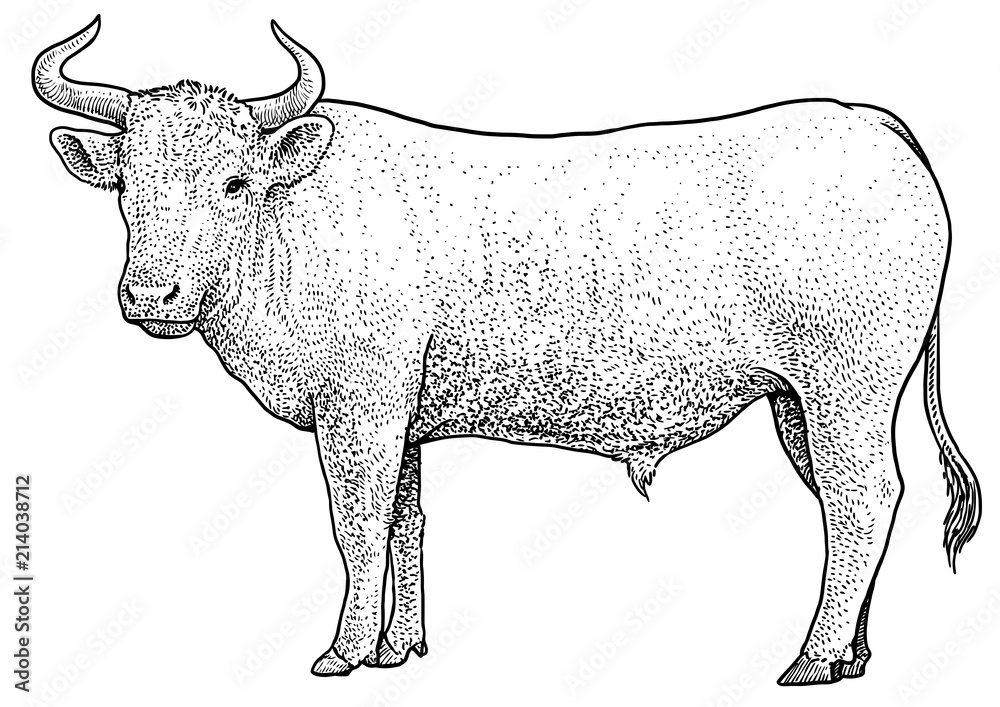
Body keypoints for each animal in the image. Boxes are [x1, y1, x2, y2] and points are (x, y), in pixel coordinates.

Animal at [34, 16, 980, 685]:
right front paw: (398, 647)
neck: (294, 227)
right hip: (799, 402)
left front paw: (343, 650)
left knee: (863, 498)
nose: (150, 296)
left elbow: (355, 524)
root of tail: (864, 120)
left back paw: (813, 657)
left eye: (234, 183)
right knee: (854, 504)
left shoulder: (360, 407)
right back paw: (851, 654)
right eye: (125, 184)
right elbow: (406, 518)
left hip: (846, 386)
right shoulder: (404, 417)